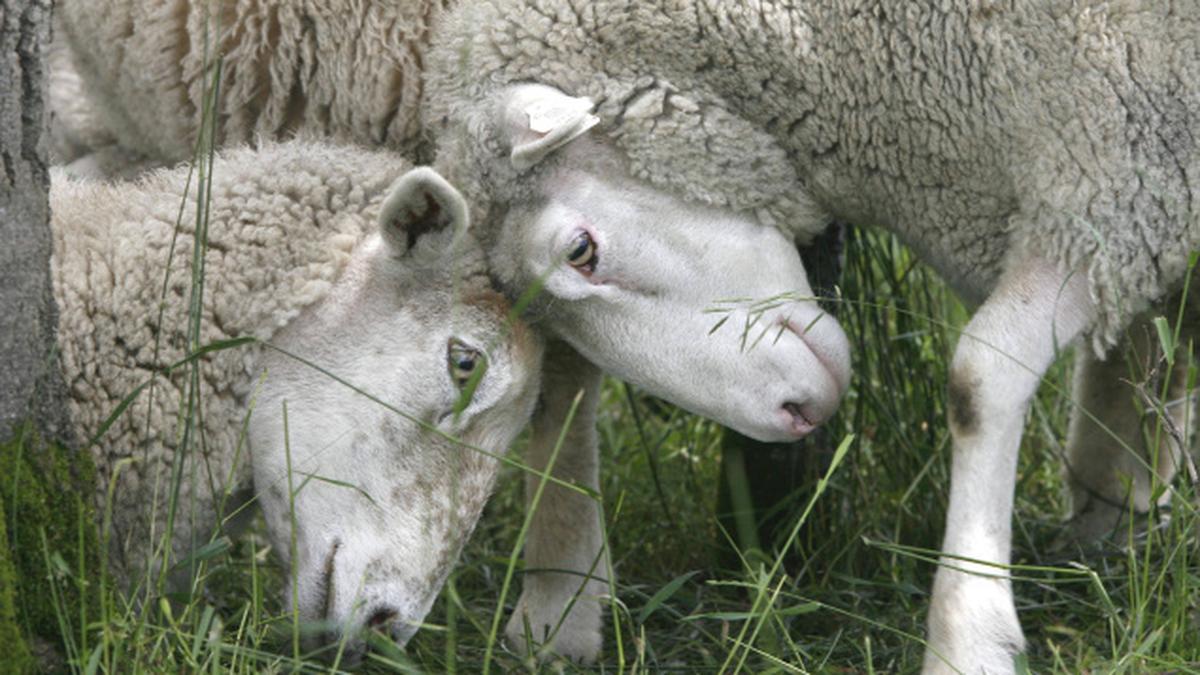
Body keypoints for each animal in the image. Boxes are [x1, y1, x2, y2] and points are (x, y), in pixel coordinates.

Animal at [410, 1, 1200, 672]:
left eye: (580, 251)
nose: (795, 415)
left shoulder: (1110, 175)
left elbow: (981, 378)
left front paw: (968, 636)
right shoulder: (1129, 184)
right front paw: (1114, 521)